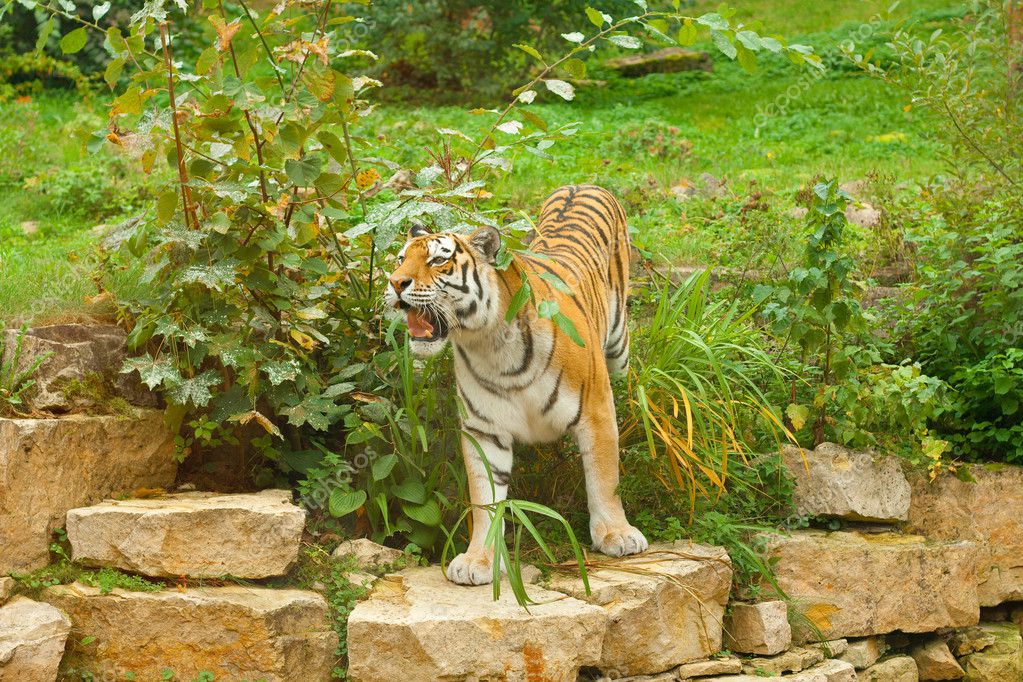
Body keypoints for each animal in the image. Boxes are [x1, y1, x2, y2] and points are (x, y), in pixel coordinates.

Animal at [384, 184, 648, 585]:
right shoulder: (484, 428)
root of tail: (582, 185)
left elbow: (604, 478)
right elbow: (485, 497)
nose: (395, 282)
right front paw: (477, 559)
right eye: (400, 259)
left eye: (438, 261)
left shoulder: (597, 410)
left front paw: (616, 535)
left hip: (619, 347)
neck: (491, 343)